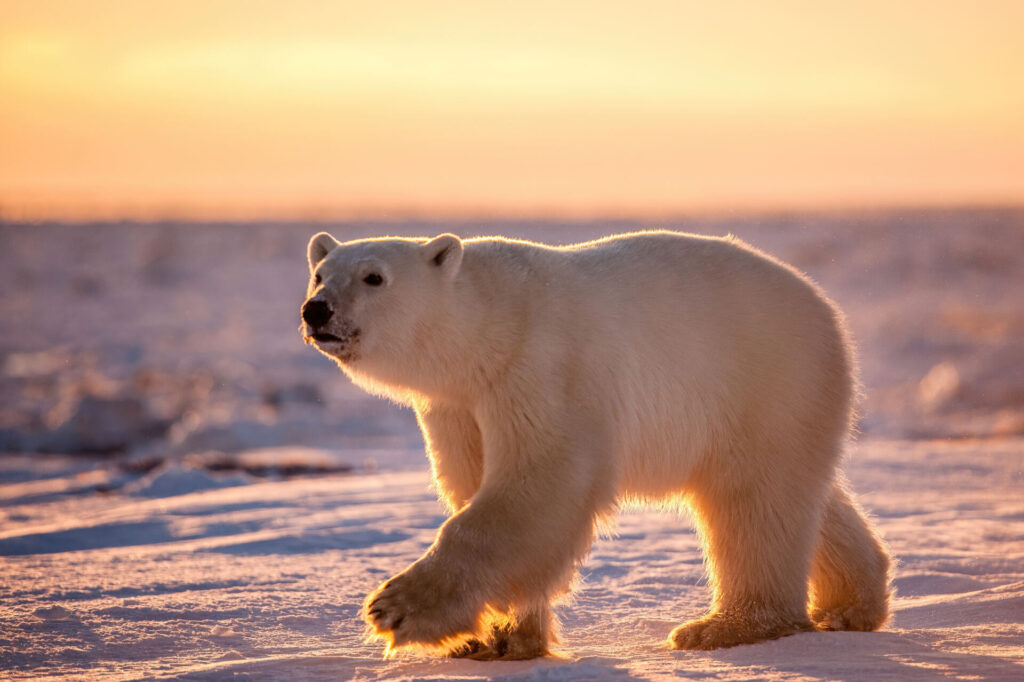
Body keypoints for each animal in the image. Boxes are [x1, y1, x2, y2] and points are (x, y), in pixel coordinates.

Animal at [299, 230, 891, 660]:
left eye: (374, 277)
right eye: (319, 274)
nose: (316, 310)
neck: (485, 327)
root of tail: (824, 305)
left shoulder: (538, 367)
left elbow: (539, 486)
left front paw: (395, 608)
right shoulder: (457, 405)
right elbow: (473, 485)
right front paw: (500, 638)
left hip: (764, 378)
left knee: (753, 502)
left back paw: (726, 627)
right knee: (804, 497)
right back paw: (850, 605)